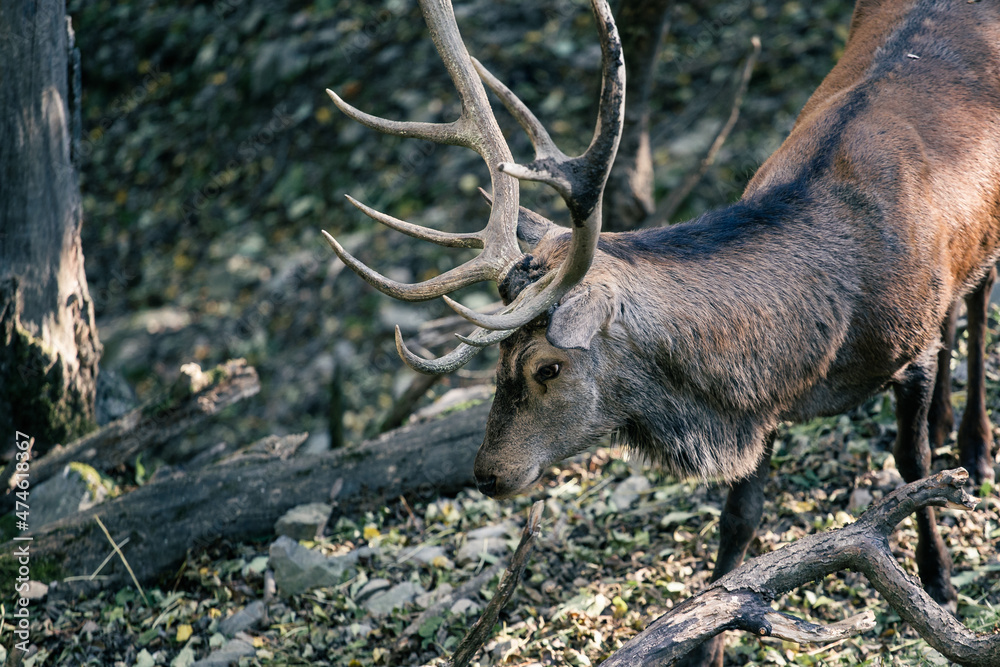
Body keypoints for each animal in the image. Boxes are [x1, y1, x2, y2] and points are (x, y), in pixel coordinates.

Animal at [322, 0, 1000, 663]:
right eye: (499, 360)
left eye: (547, 365)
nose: (487, 473)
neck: (828, 340)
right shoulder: (761, 398)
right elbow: (741, 514)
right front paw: (711, 639)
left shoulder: (910, 348)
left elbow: (912, 465)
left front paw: (937, 579)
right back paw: (948, 421)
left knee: (977, 299)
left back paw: (974, 444)